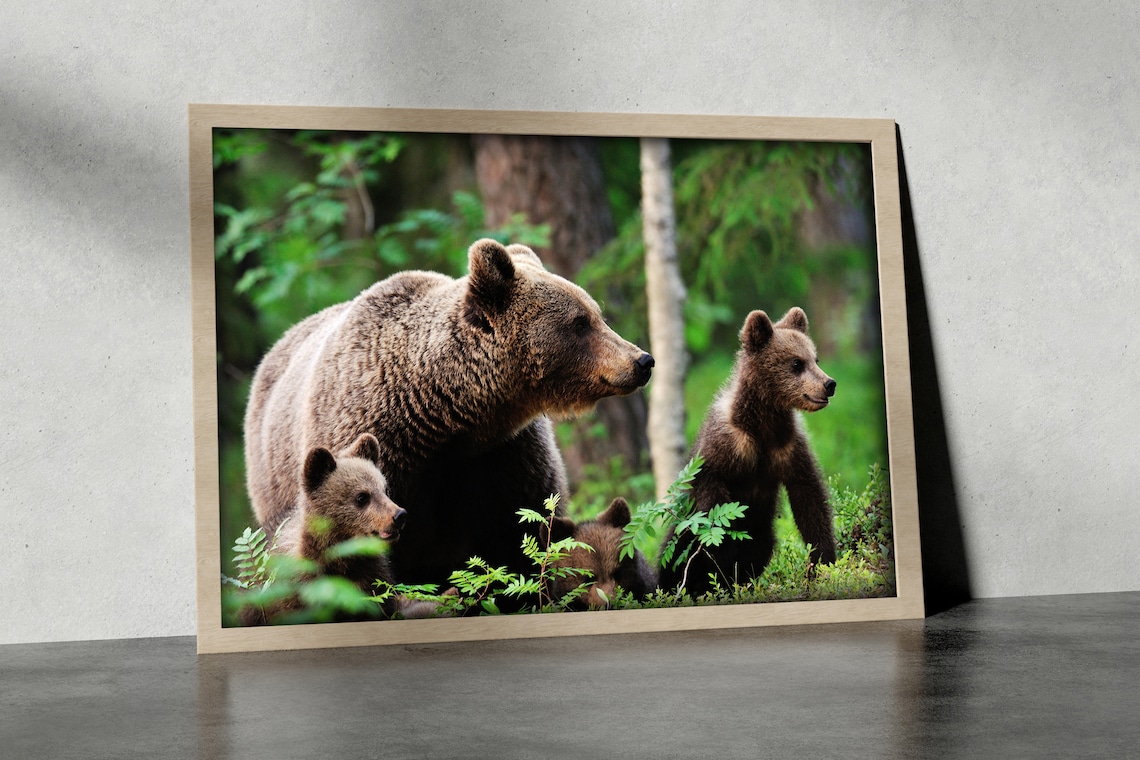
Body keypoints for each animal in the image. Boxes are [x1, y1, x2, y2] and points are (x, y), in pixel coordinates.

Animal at [244, 238, 654, 589]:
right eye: (580, 322)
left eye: (597, 314)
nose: (642, 360)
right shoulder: (377, 445)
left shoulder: (503, 457)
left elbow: (521, 528)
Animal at [658, 307, 837, 596]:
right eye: (797, 363)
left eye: (815, 358)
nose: (829, 384)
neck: (763, 423)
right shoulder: (724, 446)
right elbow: (713, 506)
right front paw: (720, 566)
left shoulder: (788, 448)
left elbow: (810, 501)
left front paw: (822, 563)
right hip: (683, 531)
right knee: (678, 553)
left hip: (761, 529)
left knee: (761, 546)